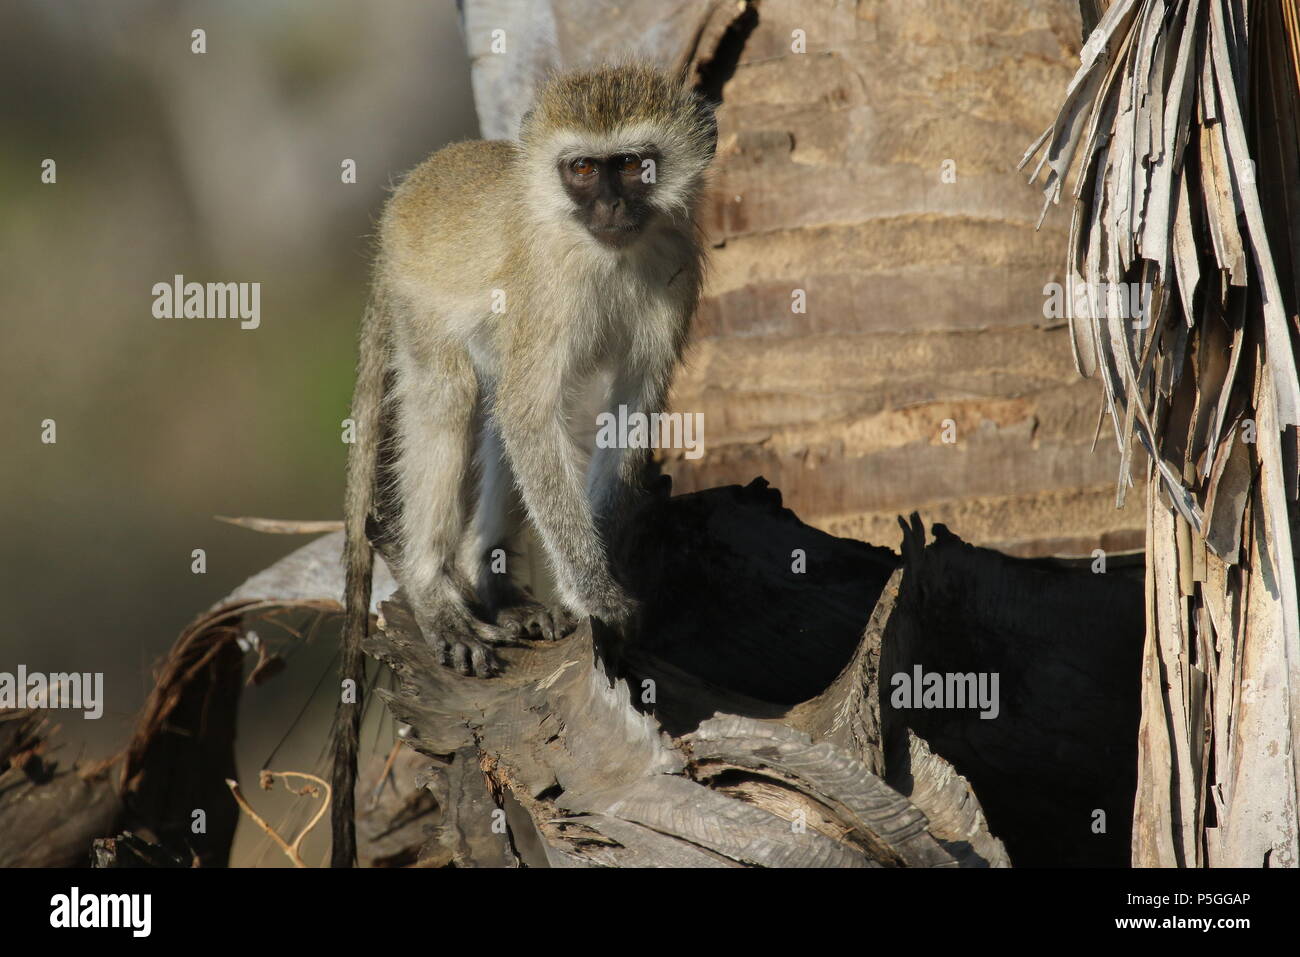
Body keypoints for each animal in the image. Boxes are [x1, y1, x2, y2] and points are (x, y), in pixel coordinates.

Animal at [330, 63, 717, 865]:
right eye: (583, 170)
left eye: (634, 166)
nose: (609, 205)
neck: (605, 252)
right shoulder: (548, 289)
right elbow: (530, 416)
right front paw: (598, 597)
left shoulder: (673, 264)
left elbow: (622, 411)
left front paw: (587, 586)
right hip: (419, 303)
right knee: (456, 397)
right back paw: (436, 594)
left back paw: (494, 585)